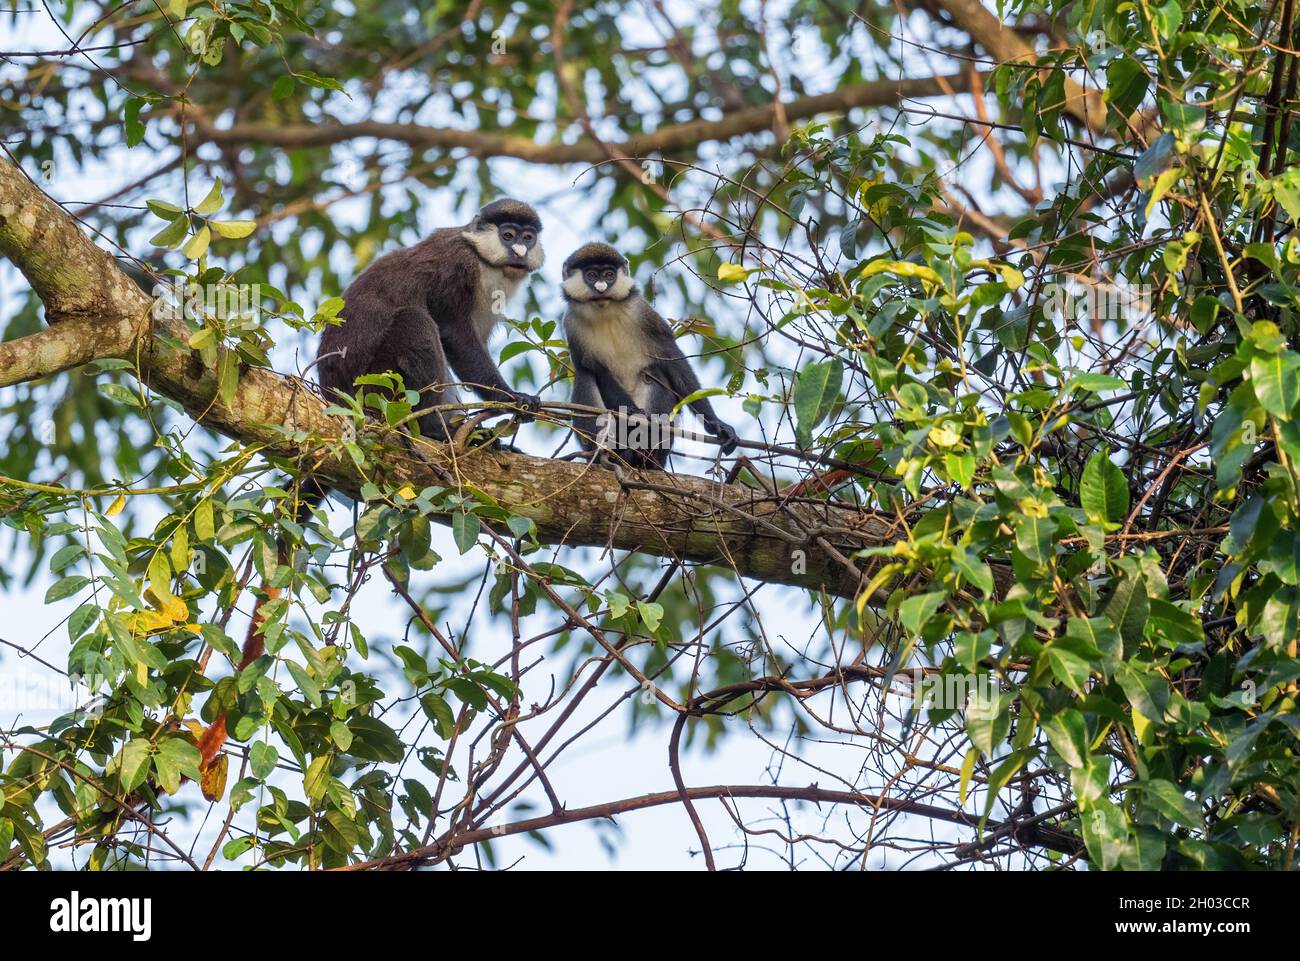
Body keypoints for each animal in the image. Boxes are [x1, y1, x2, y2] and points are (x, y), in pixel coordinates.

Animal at [195, 199, 546, 781]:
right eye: (509, 232)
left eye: (527, 236)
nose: (519, 247)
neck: (487, 261)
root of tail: (335, 398)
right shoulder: (457, 271)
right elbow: (453, 333)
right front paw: (513, 401)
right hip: (376, 383)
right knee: (415, 323)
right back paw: (439, 433)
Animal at [560, 242, 739, 470]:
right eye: (591, 275)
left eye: (609, 275)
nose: (601, 288)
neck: (604, 312)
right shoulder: (571, 326)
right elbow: (598, 371)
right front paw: (632, 412)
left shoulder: (644, 314)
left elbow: (672, 358)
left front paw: (717, 424)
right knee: (585, 376)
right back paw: (612, 454)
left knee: (653, 374)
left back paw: (644, 453)